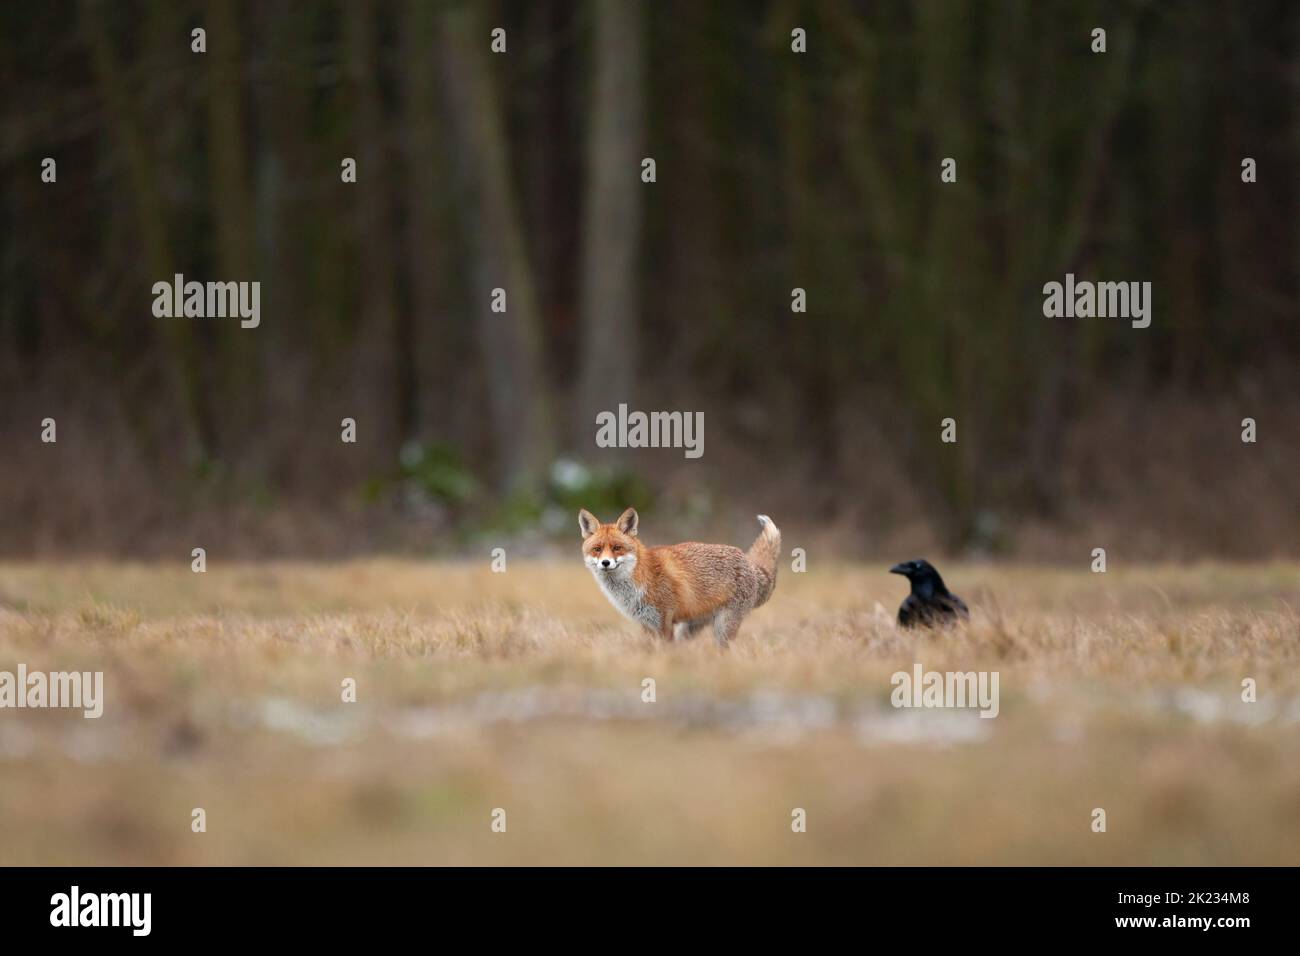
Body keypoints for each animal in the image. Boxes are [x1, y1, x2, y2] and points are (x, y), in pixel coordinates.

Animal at [578, 507, 781, 646]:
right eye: (597, 549)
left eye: (616, 548)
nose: (605, 563)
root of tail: (750, 564)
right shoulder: (647, 624)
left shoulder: (663, 623)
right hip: (688, 630)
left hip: (723, 628)